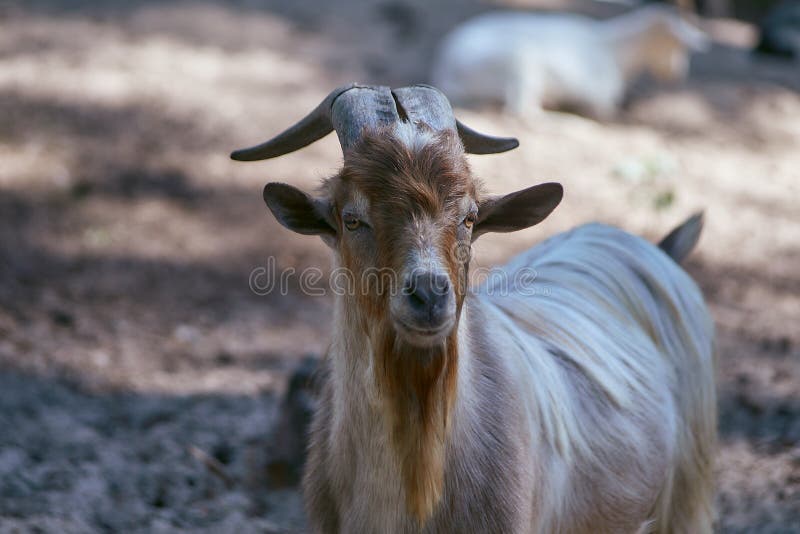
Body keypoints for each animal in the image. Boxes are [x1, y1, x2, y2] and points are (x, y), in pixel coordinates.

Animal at [431, 5, 709, 118]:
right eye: (680, 45)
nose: (677, 74)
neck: (615, 50)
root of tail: (446, 65)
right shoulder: (598, 95)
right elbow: (605, 109)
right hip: (520, 61)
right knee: (520, 110)